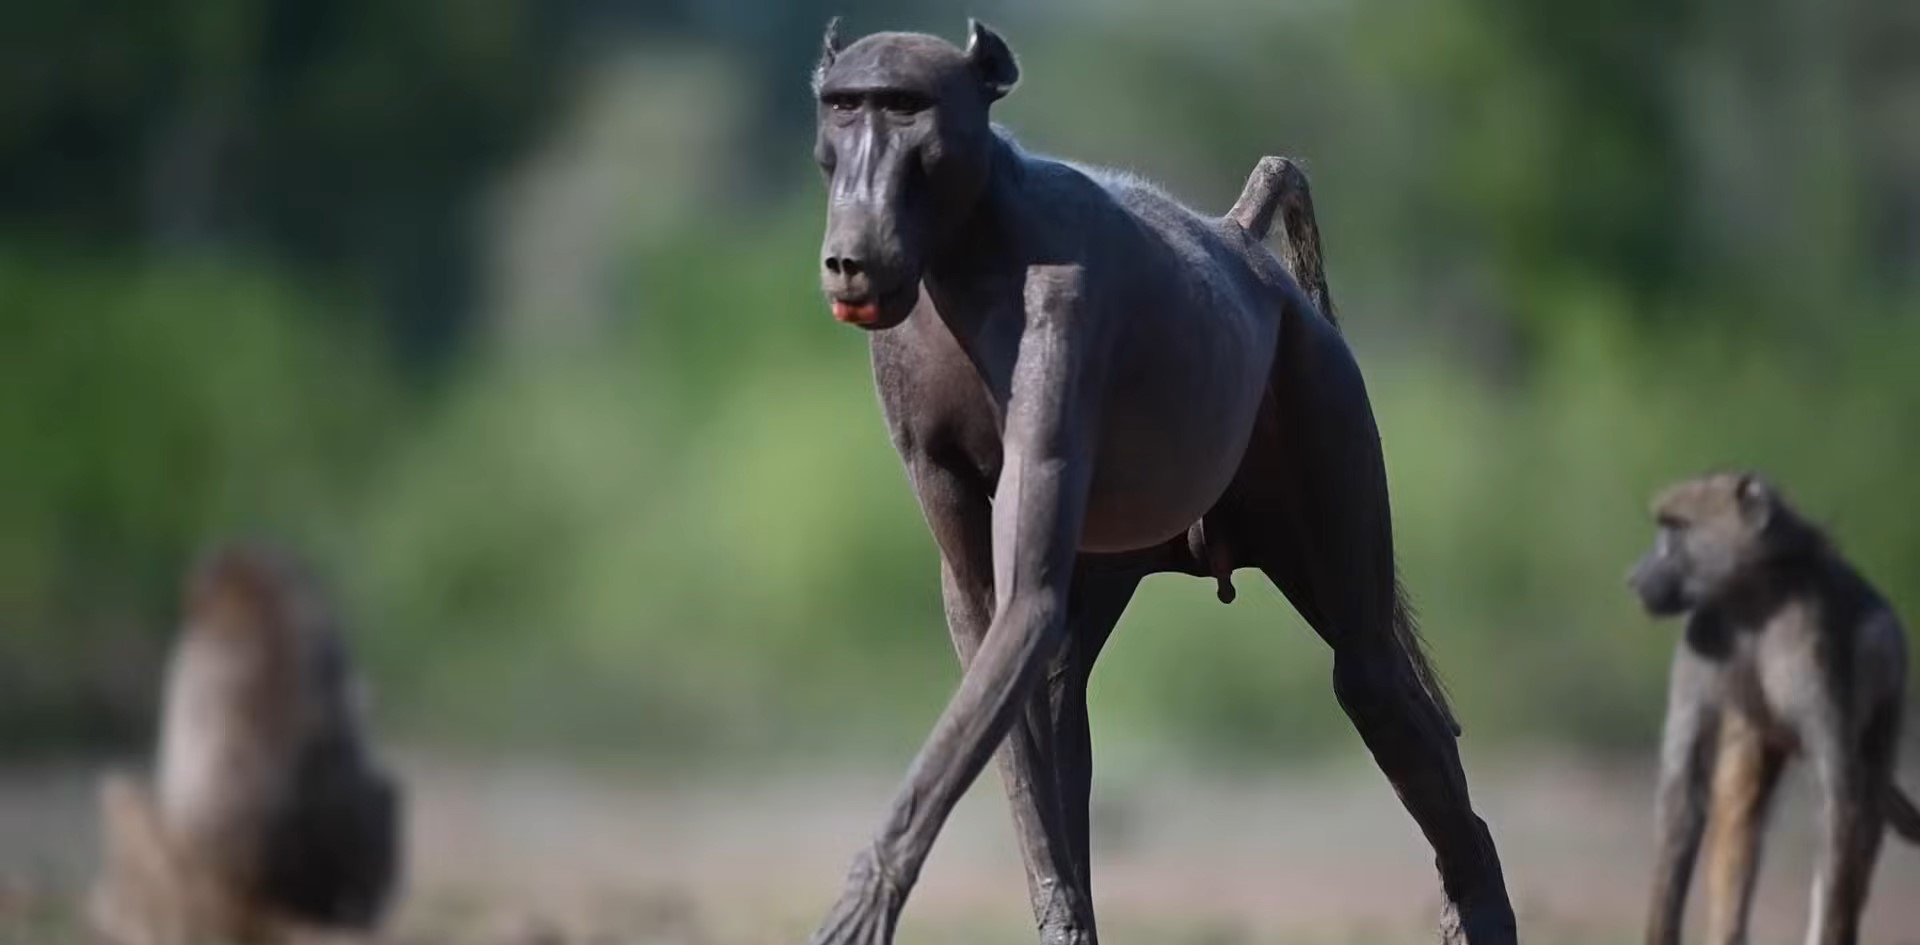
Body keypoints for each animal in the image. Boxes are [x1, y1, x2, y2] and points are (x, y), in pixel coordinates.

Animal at [1627, 471, 1920, 945]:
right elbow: (1683, 794)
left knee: (1862, 816)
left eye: (1676, 529)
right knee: (1740, 814)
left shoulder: (1813, 645)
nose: (1634, 578)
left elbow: (1838, 798)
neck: (1753, 600)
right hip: (1759, 734)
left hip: (1888, 688)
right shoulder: (1700, 637)